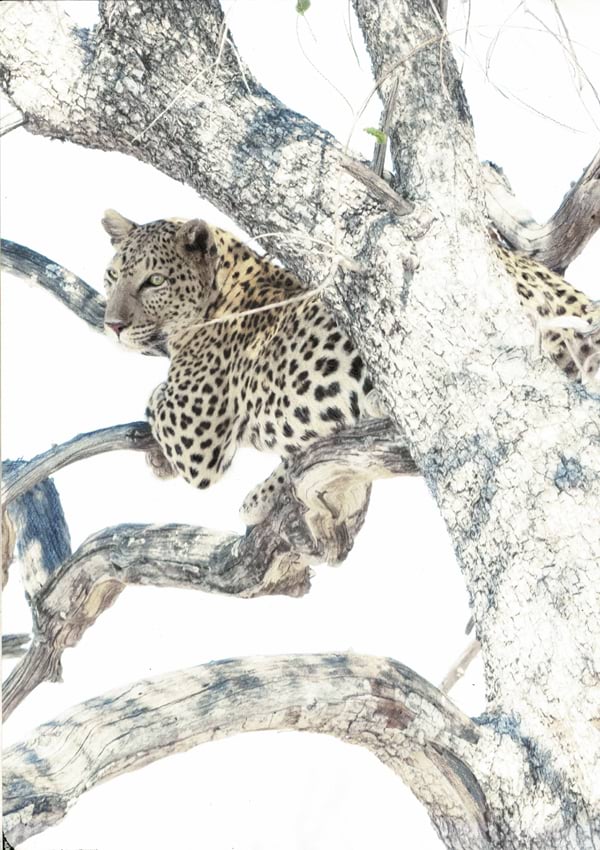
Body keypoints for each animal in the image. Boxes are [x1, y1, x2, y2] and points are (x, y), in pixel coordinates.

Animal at [102, 210, 599, 524]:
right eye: (112, 277)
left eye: (154, 281)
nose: (112, 325)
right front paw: (264, 492)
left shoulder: (195, 434)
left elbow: (155, 399)